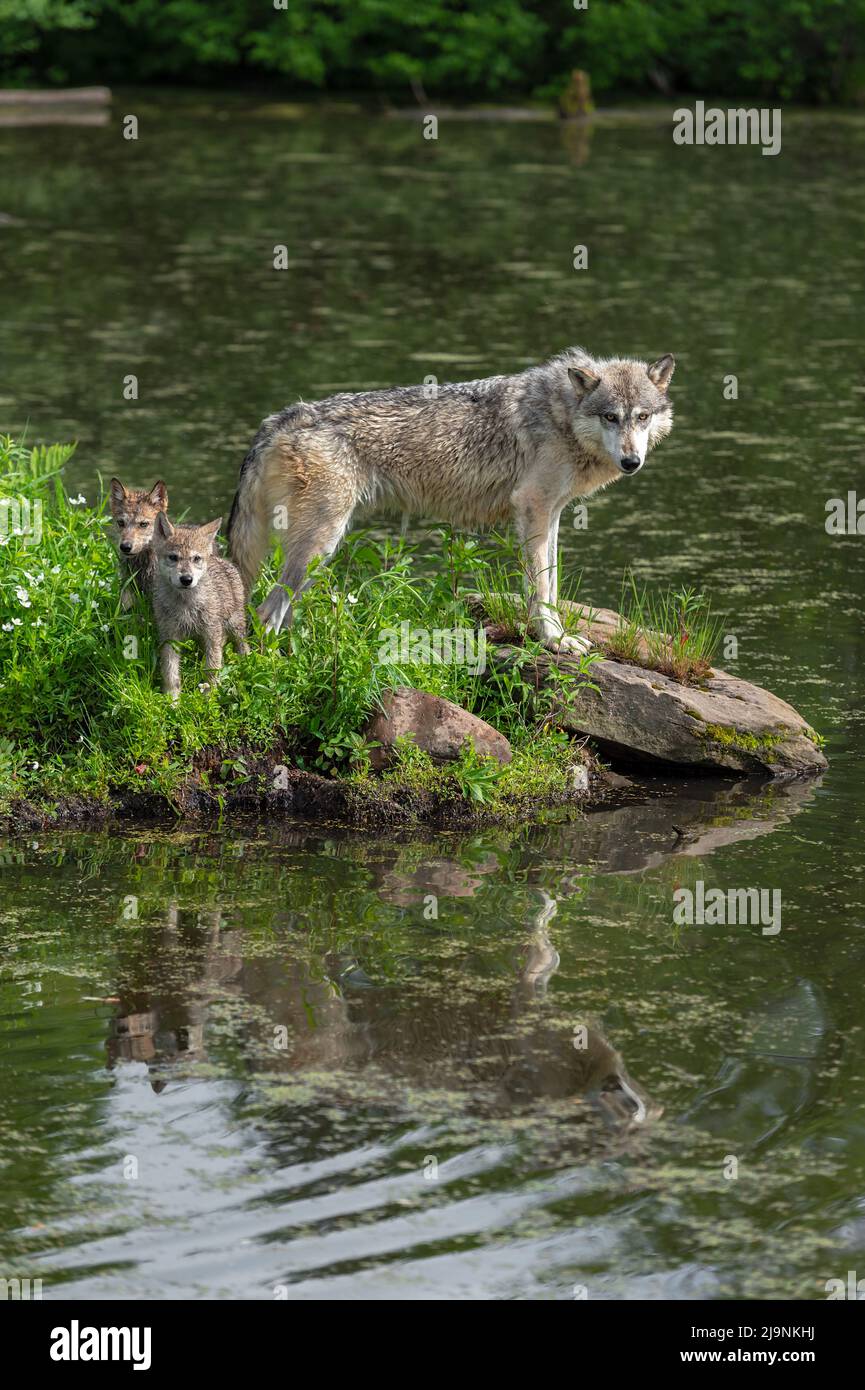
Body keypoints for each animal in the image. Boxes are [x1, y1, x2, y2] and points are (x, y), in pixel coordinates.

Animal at [151, 514, 249, 699]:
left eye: (196, 558)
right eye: (173, 557)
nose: (186, 579)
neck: (186, 605)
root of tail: (220, 559)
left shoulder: (212, 634)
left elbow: (211, 668)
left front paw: (209, 697)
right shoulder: (170, 637)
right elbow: (170, 674)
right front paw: (172, 700)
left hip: (234, 626)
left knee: (244, 646)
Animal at [227, 347, 675, 650]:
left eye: (642, 417)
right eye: (610, 417)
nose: (631, 461)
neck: (561, 413)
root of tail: (278, 419)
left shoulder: (553, 513)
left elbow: (551, 581)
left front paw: (559, 635)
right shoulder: (533, 506)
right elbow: (540, 587)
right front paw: (552, 640)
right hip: (321, 543)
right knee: (266, 613)